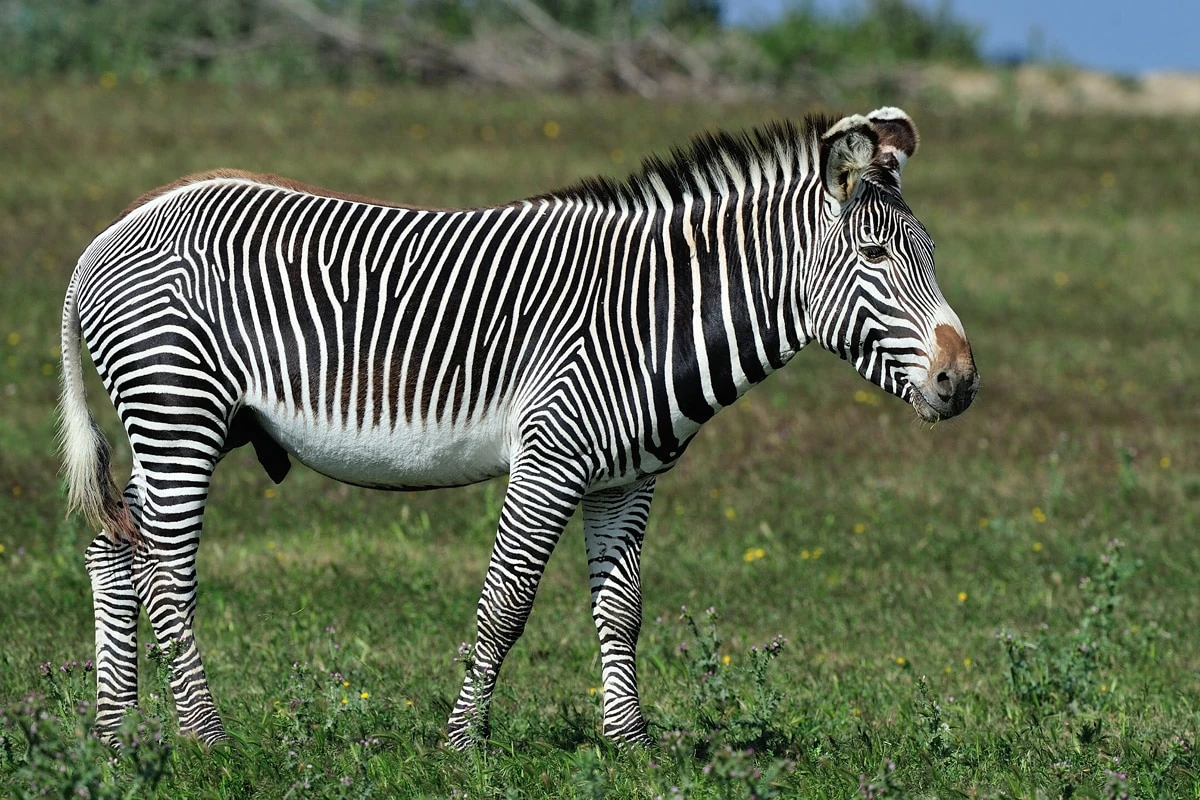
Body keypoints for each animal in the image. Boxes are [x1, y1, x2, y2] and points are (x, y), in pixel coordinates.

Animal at [59, 107, 977, 748]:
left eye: (931, 253)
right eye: (873, 258)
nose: (961, 381)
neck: (652, 314)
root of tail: (115, 229)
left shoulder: (625, 478)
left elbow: (621, 611)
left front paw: (631, 744)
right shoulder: (551, 457)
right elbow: (505, 605)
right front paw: (462, 742)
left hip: (181, 421)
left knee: (115, 550)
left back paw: (114, 736)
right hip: (179, 410)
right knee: (165, 576)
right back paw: (206, 738)